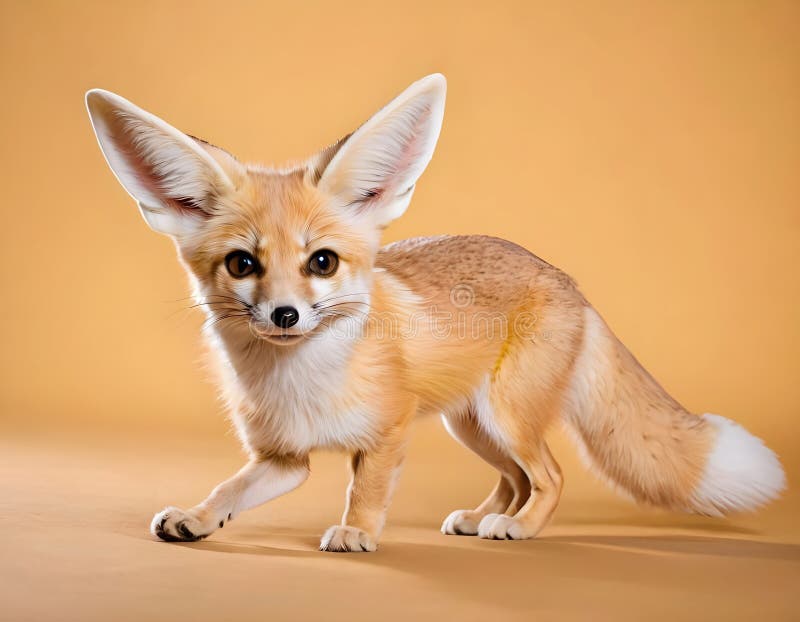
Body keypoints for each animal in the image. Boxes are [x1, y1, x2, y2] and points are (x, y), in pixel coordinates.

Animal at [85, 74, 785, 552]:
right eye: (241, 264)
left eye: (322, 262)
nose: (284, 315)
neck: (300, 381)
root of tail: (567, 279)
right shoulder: (283, 458)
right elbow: (229, 489)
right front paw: (199, 519)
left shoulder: (390, 434)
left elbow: (363, 490)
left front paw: (356, 534)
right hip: (472, 426)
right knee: (517, 479)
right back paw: (484, 518)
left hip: (504, 417)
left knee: (551, 476)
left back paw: (519, 528)